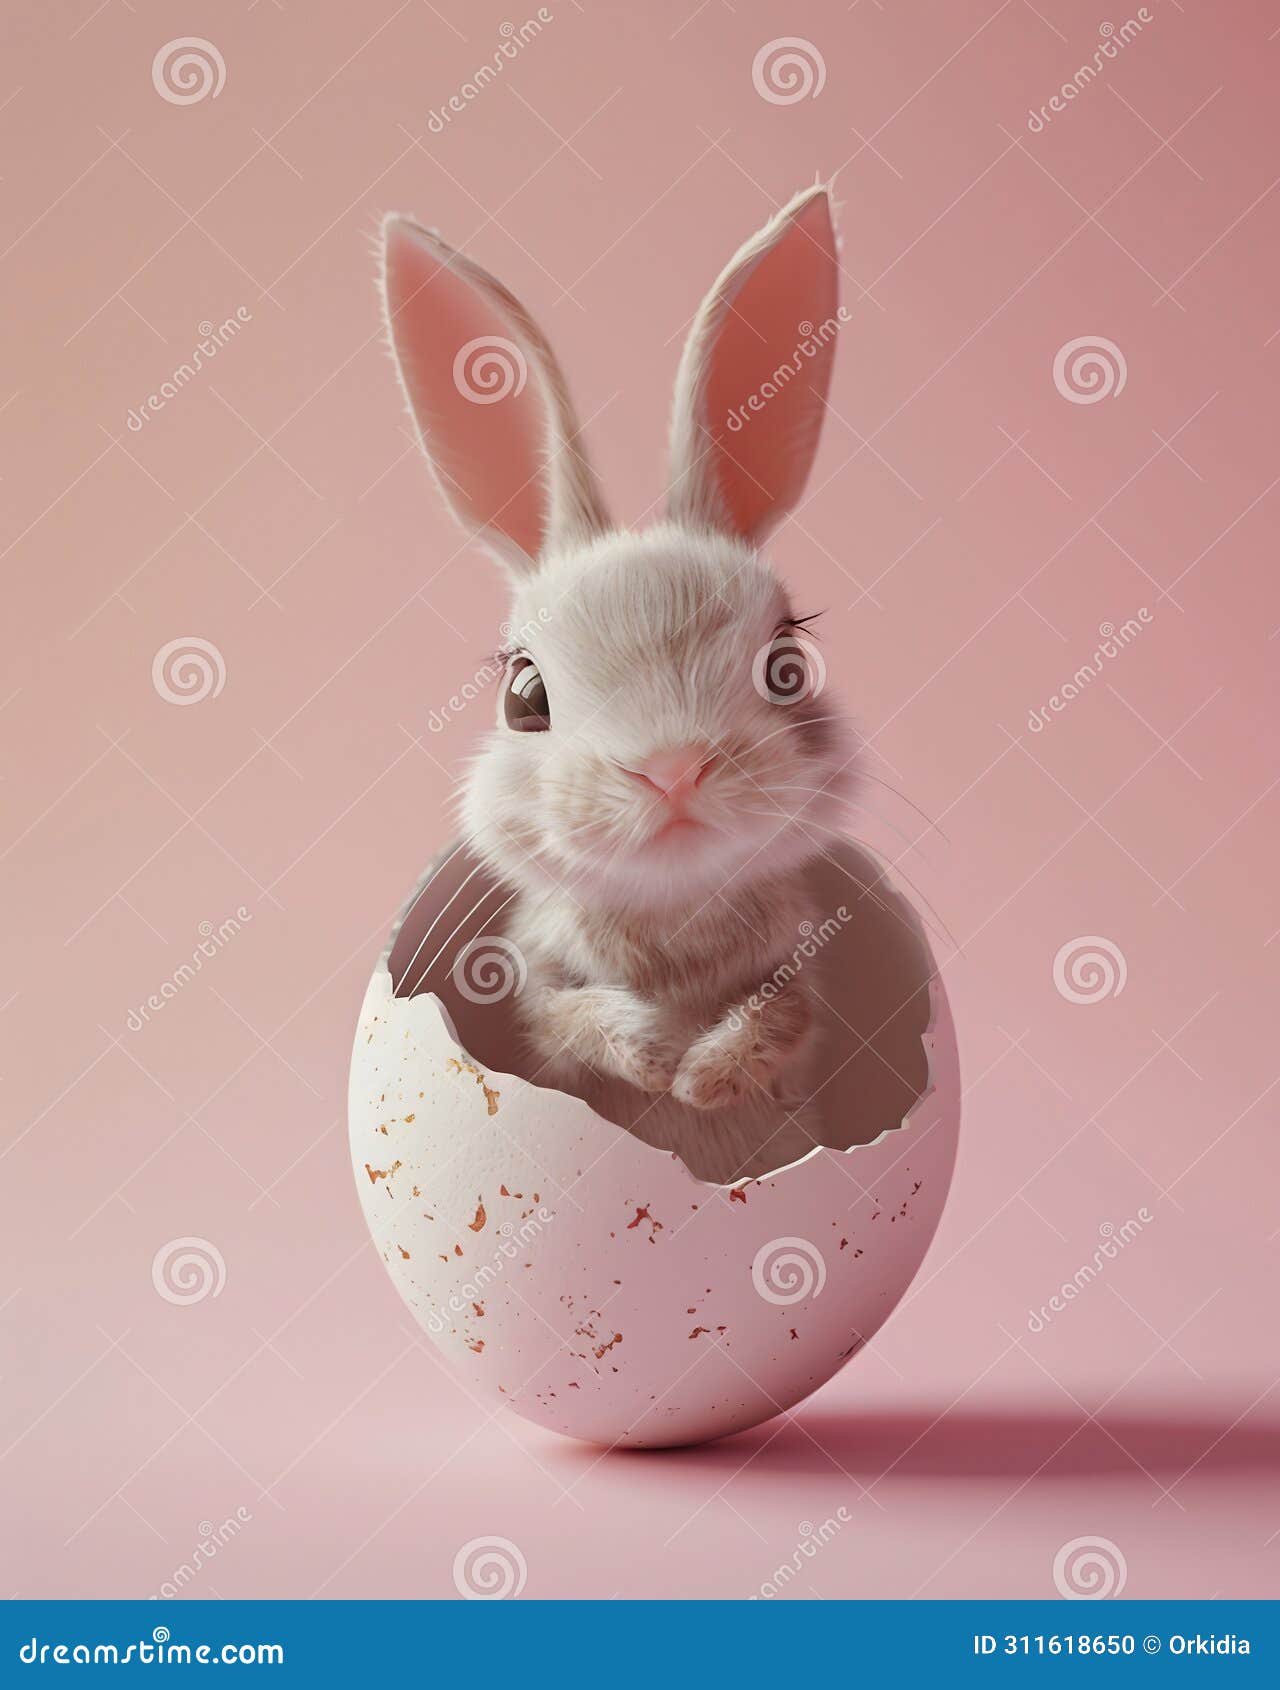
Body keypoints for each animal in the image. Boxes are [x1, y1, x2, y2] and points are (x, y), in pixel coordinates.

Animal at [379, 185, 859, 1184]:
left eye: (788, 667)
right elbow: (565, 1015)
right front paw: (655, 1055)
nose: (672, 769)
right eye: (523, 697)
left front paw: (706, 1077)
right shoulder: (530, 979)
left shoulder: (803, 968)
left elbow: (782, 1013)